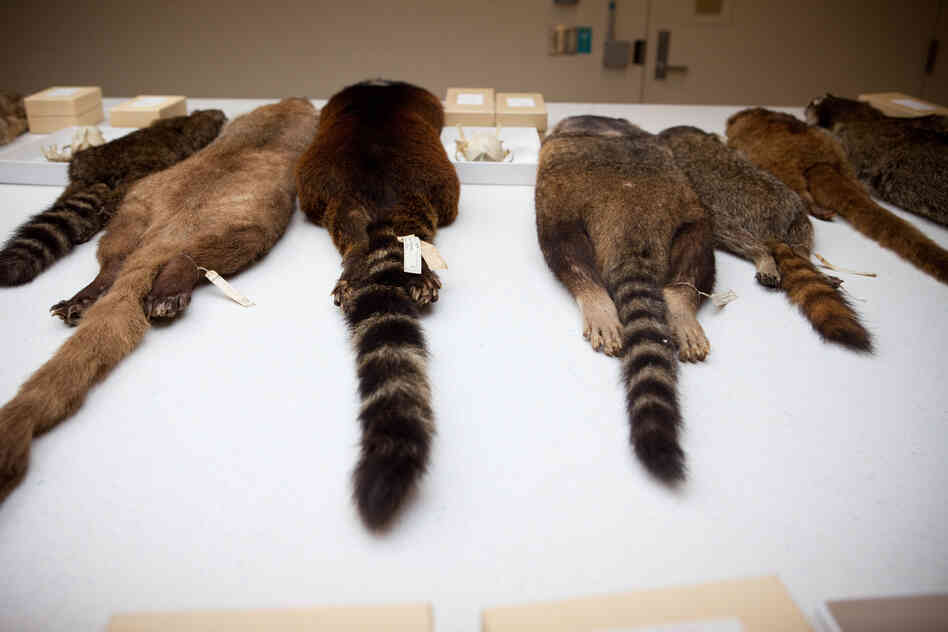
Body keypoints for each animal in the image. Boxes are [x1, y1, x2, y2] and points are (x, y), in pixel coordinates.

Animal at [0, 109, 226, 286]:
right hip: (139, 173)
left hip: (81, 168)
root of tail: (100, 175)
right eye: (219, 116)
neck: (190, 118)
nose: (222, 113)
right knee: (119, 196)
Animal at [536, 115, 715, 483]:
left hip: (558, 204)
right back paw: (680, 303)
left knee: (563, 250)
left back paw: (593, 296)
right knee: (699, 245)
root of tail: (633, 223)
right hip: (691, 211)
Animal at [658, 125, 871, 351]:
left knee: (740, 240)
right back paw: (811, 263)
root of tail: (772, 229)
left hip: (724, 220)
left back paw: (763, 256)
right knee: (802, 244)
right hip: (798, 215)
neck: (690, 137)